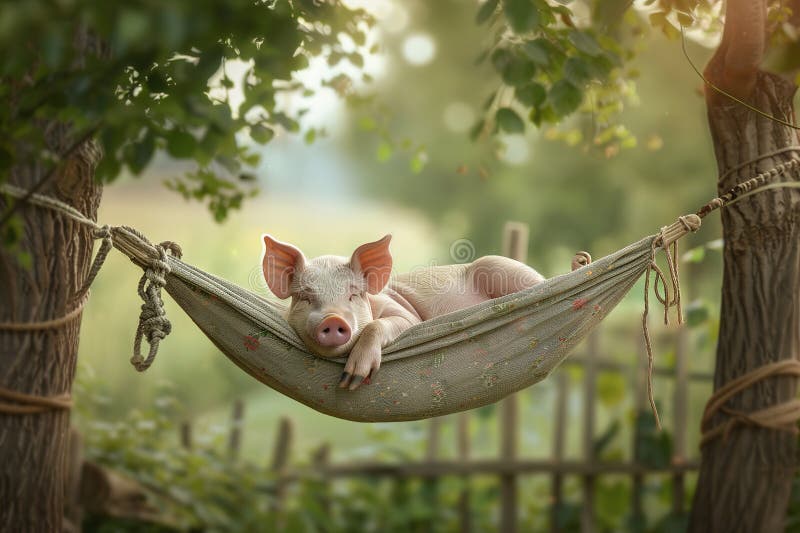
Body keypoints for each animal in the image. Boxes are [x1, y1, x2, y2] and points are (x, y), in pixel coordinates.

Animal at [261, 234, 591, 390]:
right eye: (304, 297)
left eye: (354, 294)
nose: (333, 320)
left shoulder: (405, 315)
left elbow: (382, 325)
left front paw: (352, 380)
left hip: (500, 266)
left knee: (545, 283)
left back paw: (580, 263)